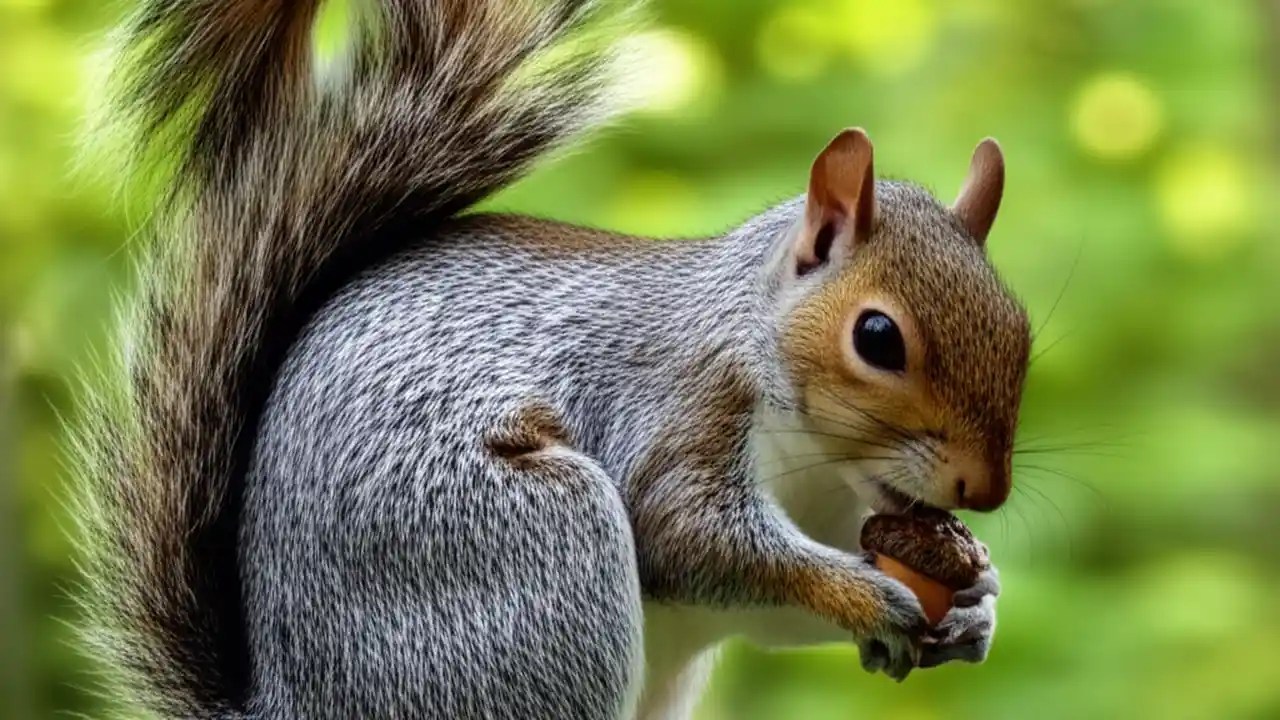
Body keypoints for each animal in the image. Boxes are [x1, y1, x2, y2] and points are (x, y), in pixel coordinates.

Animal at [70, 0, 1031, 718]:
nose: (984, 491)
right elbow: (693, 537)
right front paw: (869, 596)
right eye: (878, 338)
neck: (818, 467)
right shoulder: (681, 406)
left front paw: (974, 600)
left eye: (1020, 325)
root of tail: (291, 706)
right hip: (536, 556)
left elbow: (769, 616)